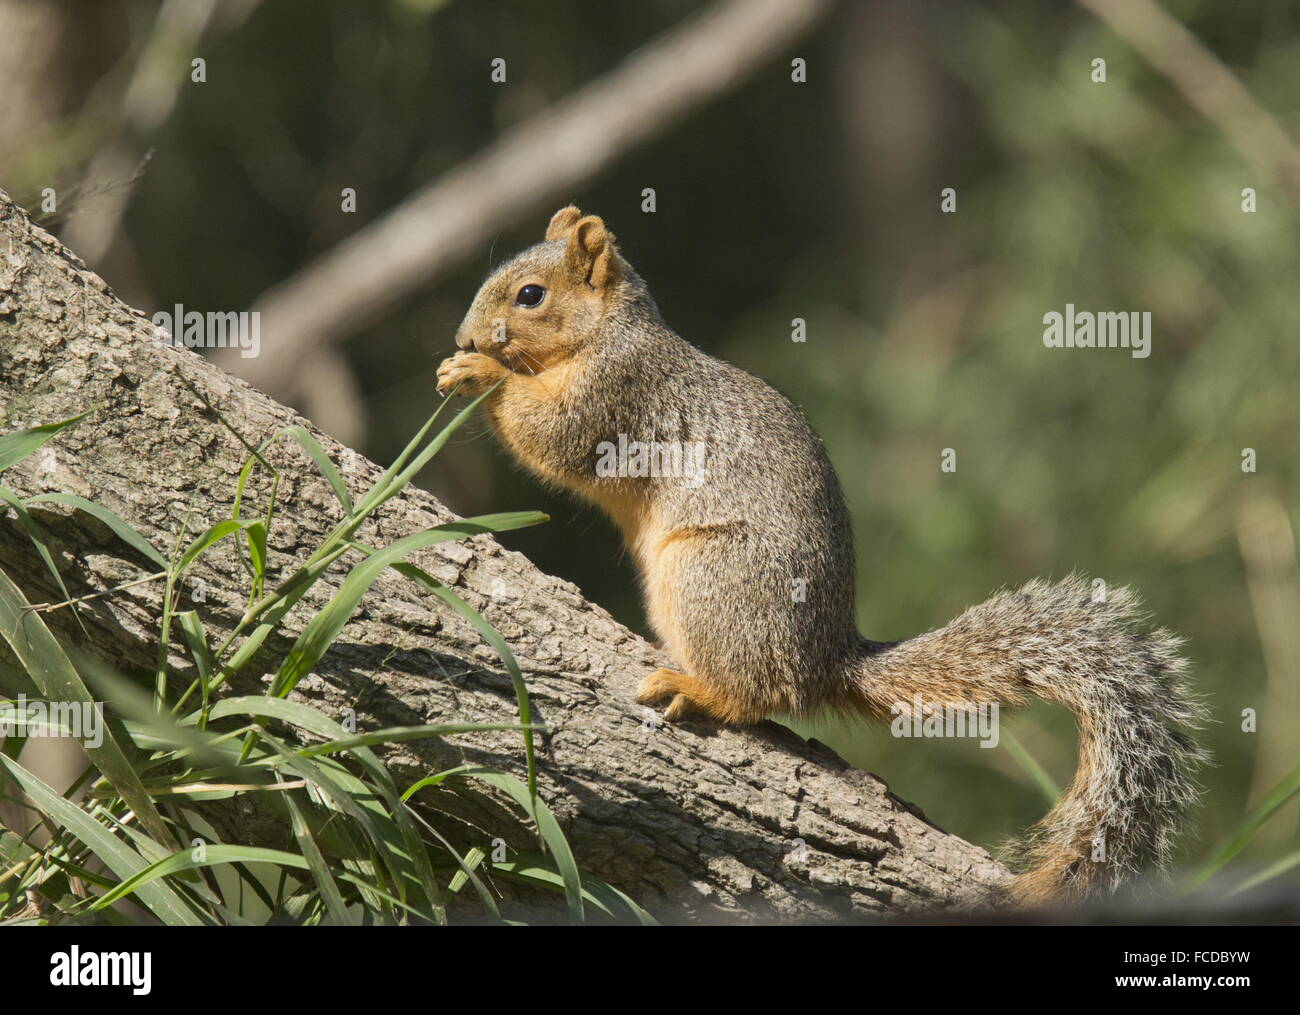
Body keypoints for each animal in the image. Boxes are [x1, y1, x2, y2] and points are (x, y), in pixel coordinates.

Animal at [436, 206, 1207, 904]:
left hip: (711, 577)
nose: (465, 333)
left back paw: (699, 687)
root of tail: (826, 656)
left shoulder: (618, 395)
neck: (607, 333)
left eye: (530, 295)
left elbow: (555, 435)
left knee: (756, 693)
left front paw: (479, 371)